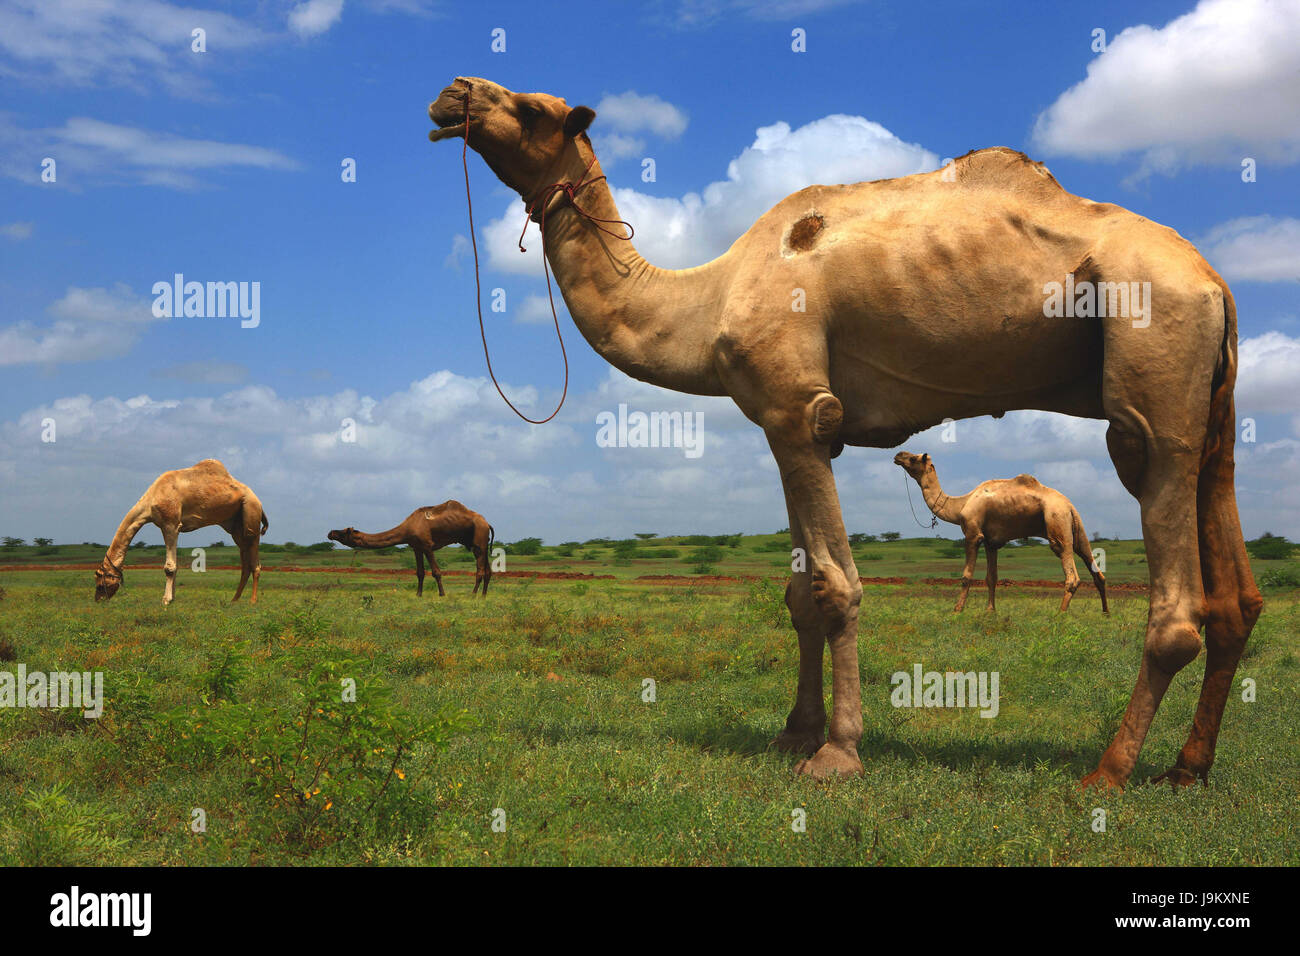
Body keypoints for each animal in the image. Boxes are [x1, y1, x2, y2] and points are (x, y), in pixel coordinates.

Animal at [95, 459, 267, 605]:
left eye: (99, 582)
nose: (98, 599)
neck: (151, 500)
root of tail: (259, 501)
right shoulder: (172, 526)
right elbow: (175, 565)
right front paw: (173, 598)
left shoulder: (170, 524)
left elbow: (169, 567)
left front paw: (165, 600)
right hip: (236, 526)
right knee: (245, 562)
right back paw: (234, 600)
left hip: (251, 515)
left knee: (255, 562)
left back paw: (252, 601)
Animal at [327, 501, 495, 597]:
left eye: (344, 532)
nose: (331, 533)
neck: (408, 528)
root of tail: (487, 523)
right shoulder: (416, 547)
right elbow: (419, 573)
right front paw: (418, 594)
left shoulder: (427, 545)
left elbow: (436, 571)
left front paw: (442, 594)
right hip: (482, 542)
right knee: (488, 570)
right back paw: (484, 595)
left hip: (478, 537)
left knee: (480, 569)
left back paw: (473, 594)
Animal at [894, 452, 1108, 613]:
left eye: (913, 458)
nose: (898, 455)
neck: (961, 504)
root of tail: (1069, 505)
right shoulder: (991, 542)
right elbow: (991, 577)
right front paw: (990, 610)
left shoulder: (973, 534)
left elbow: (966, 576)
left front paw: (957, 609)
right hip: (1076, 527)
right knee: (1094, 567)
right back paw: (1105, 613)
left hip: (1057, 521)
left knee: (1071, 573)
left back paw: (1060, 613)